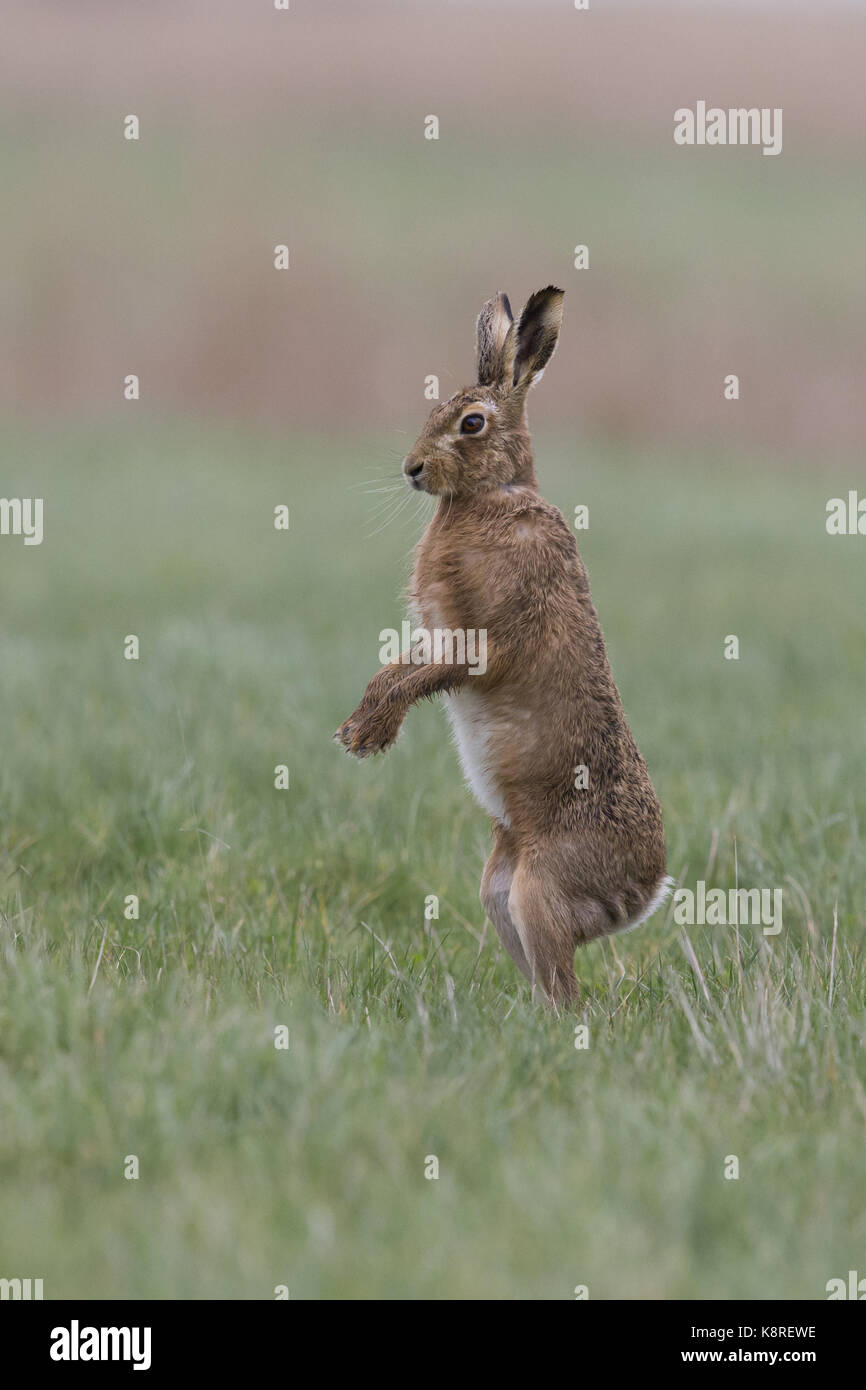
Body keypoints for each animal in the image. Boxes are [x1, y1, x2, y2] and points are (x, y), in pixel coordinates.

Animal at [335, 286, 671, 1005]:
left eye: (471, 424)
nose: (411, 470)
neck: (492, 495)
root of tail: (647, 892)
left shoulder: (481, 642)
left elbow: (420, 680)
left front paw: (370, 735)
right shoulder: (434, 635)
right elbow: (394, 671)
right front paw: (356, 728)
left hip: (538, 890)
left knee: (566, 988)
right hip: (500, 886)